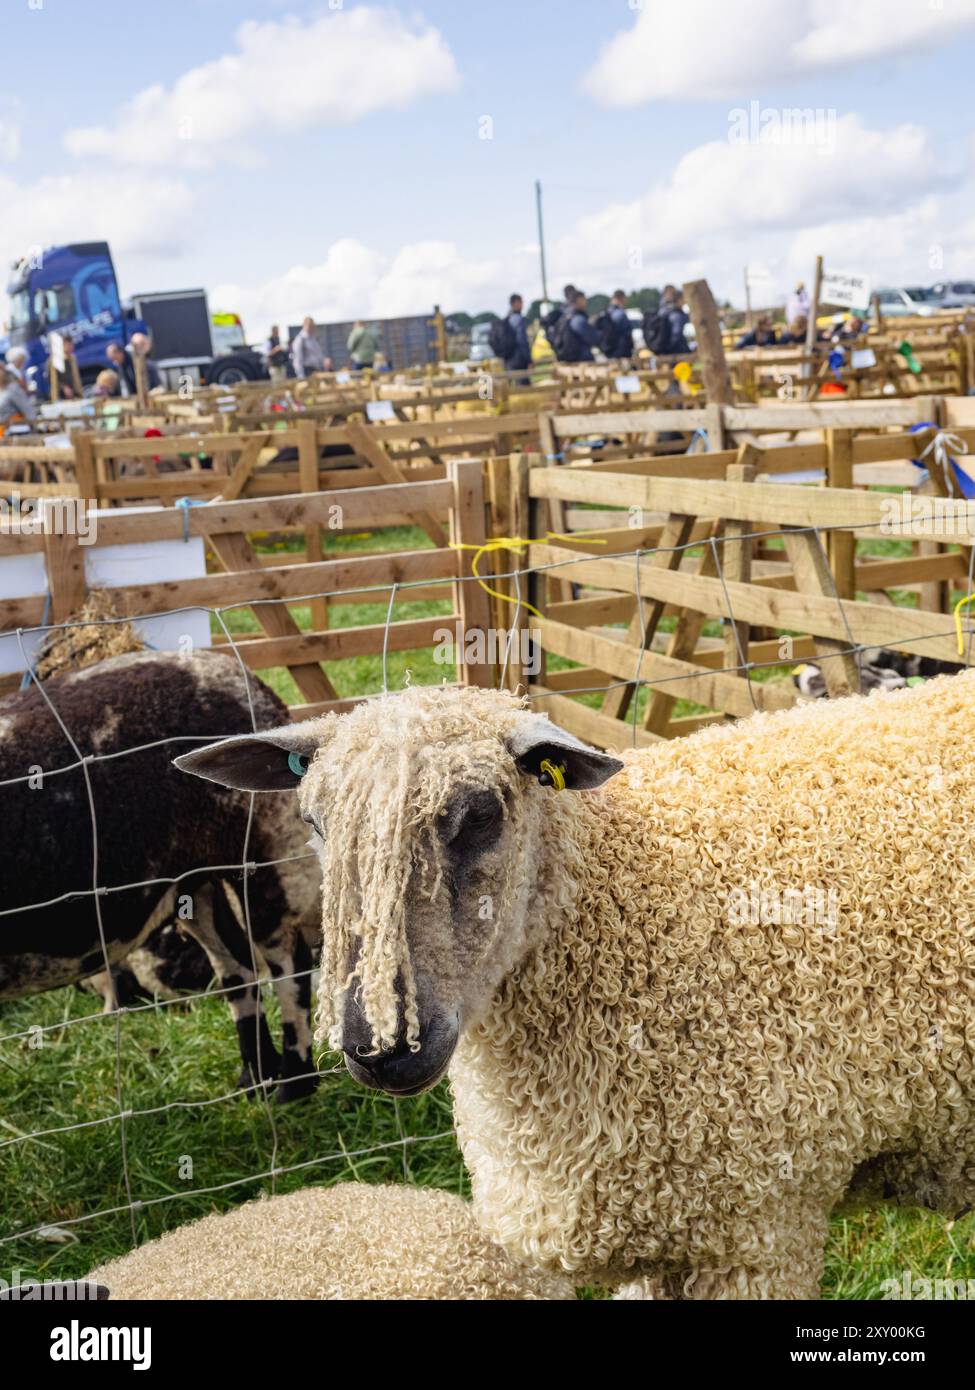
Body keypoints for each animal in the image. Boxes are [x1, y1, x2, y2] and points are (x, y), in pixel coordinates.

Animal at [0, 648, 320, 1101]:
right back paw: (254, 1077)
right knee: (237, 968)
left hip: (264, 850)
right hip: (195, 879)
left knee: (289, 965)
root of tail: (239, 672)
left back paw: (293, 1082)